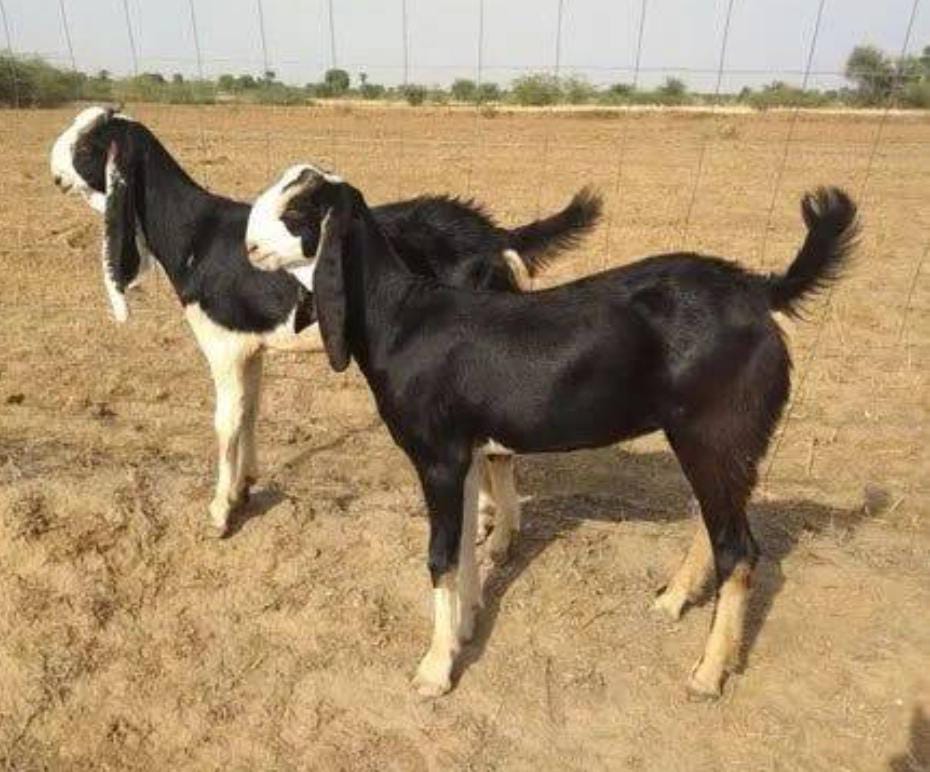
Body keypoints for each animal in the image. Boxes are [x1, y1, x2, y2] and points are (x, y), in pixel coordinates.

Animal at [49, 107, 602, 536]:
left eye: (88, 144)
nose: (53, 173)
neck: (196, 235)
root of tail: (494, 235)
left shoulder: (223, 344)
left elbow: (225, 423)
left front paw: (221, 513)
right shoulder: (251, 346)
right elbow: (250, 412)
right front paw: (245, 487)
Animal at [245, 165, 858, 699]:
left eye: (299, 209)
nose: (248, 248)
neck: (403, 317)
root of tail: (759, 291)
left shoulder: (438, 457)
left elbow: (441, 556)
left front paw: (435, 670)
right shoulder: (468, 453)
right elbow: (465, 546)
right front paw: (466, 628)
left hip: (715, 432)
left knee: (740, 548)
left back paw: (708, 673)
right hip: (718, 443)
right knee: (717, 521)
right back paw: (673, 602)